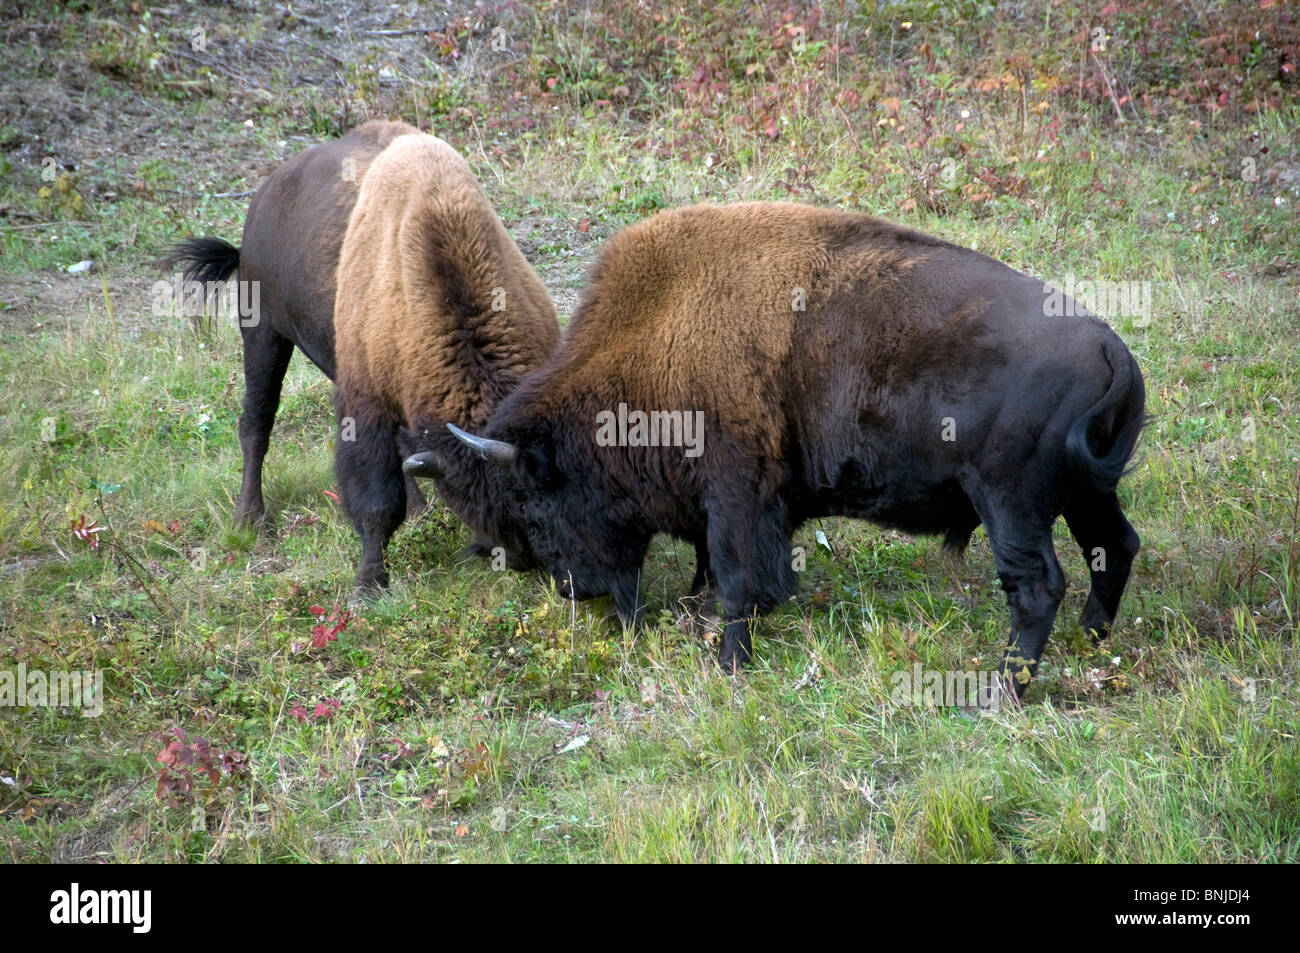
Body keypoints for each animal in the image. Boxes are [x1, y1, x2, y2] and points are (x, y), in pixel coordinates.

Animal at [413, 202, 1146, 699]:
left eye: (535, 504)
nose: (573, 588)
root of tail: (1110, 346)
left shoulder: (739, 495)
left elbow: (739, 579)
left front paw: (728, 660)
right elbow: (713, 565)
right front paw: (702, 613)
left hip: (1011, 506)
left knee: (1039, 586)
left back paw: (1004, 688)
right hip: (1086, 492)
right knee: (1114, 544)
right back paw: (1091, 637)